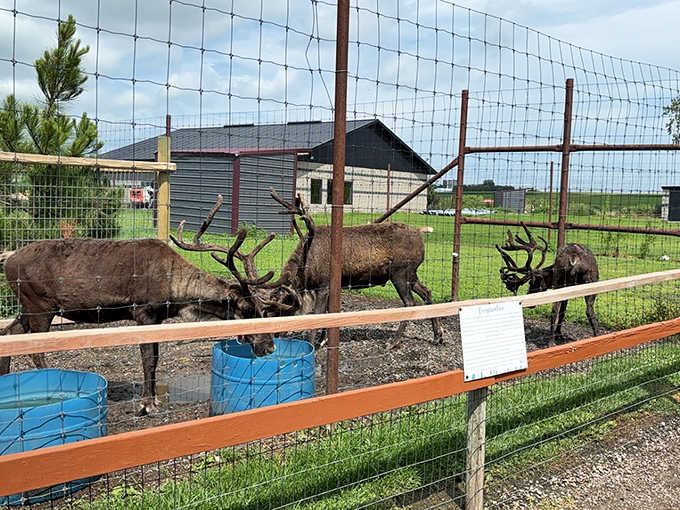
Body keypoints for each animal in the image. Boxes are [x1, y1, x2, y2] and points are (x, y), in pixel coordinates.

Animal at [0, 196, 299, 416]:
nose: (269, 347)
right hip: (39, 306)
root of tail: (8, 260)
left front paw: (153, 400)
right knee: (35, 351)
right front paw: (147, 404)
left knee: (9, 333)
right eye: (247, 310)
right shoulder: (144, 313)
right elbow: (148, 359)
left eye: (262, 309)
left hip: (27, 307)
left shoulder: (158, 319)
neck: (175, 287)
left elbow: (155, 359)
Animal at [266, 189, 443, 348]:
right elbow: (328, 312)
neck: (304, 270)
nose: (273, 340)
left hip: (400, 273)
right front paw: (323, 340)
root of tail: (420, 234)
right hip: (411, 274)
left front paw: (314, 345)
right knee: (427, 293)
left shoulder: (323, 285)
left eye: (277, 312)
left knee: (410, 302)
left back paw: (393, 342)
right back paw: (437, 336)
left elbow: (318, 315)